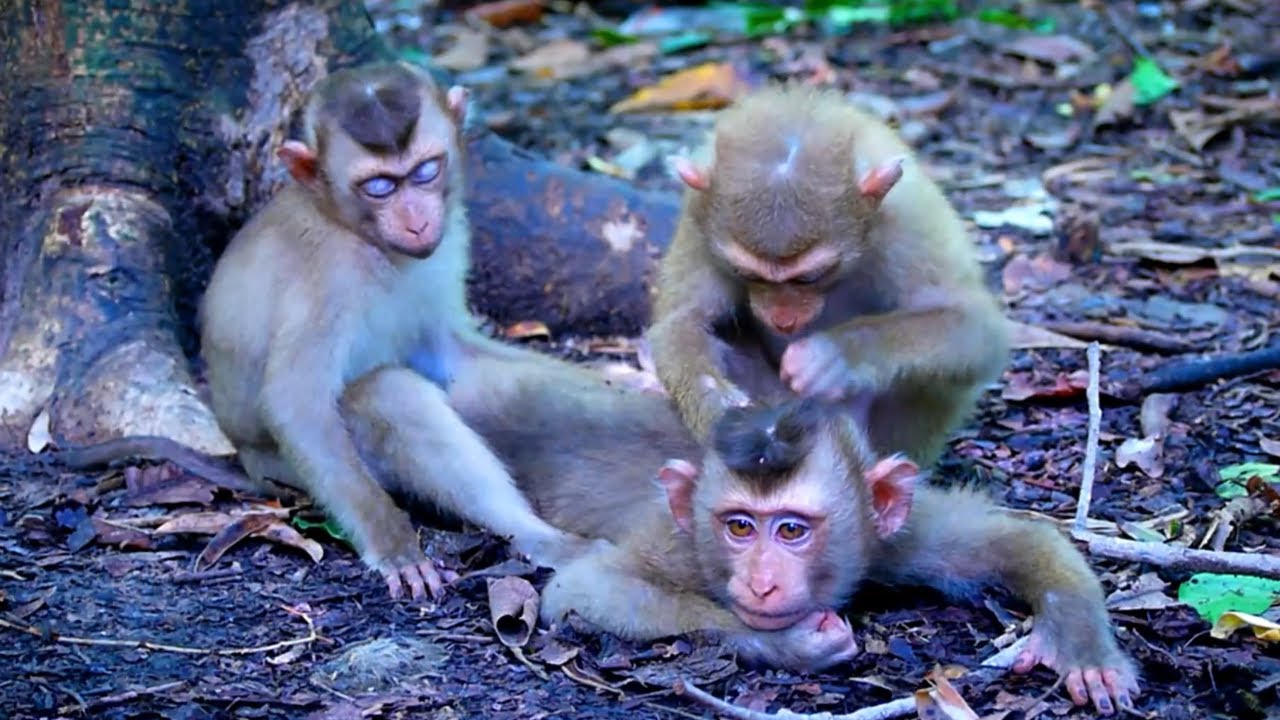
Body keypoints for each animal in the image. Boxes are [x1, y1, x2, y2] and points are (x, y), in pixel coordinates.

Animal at [196, 61, 593, 602]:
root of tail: (243, 456)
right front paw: (394, 546)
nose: (416, 221)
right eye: (380, 186)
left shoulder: (449, 241)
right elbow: (296, 403)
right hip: (286, 470)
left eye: (426, 170)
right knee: (388, 394)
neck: (364, 238)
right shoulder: (329, 277)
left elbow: (448, 353)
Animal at [647, 84, 1010, 468]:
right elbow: (684, 322)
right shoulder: (696, 220)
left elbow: (974, 326)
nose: (783, 318)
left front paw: (837, 356)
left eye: (810, 276)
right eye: (746, 273)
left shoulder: (909, 221)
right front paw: (721, 412)